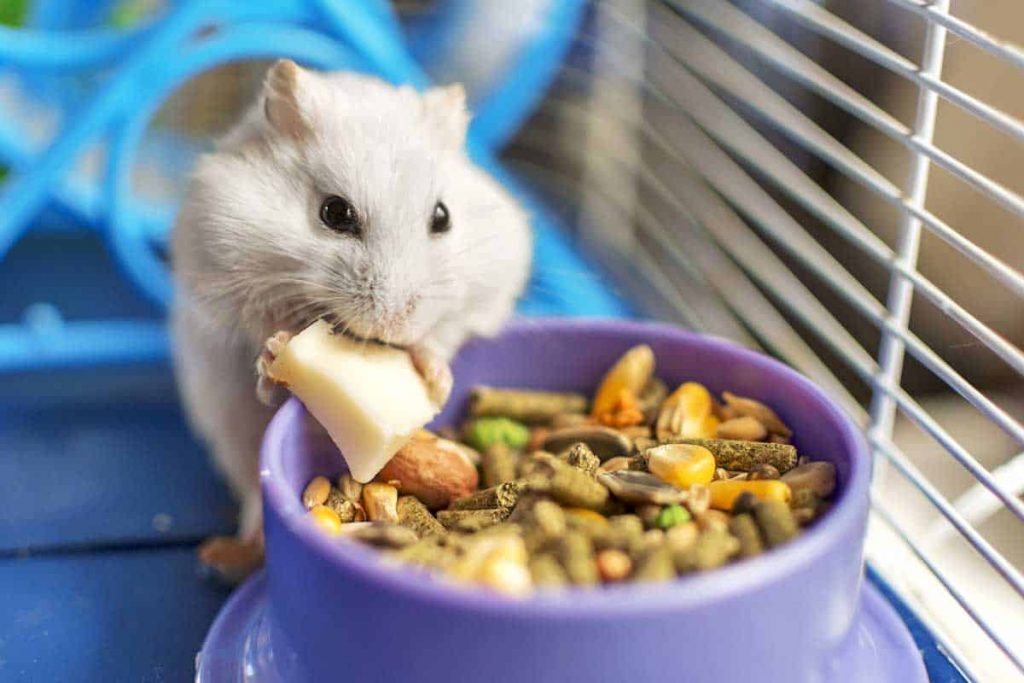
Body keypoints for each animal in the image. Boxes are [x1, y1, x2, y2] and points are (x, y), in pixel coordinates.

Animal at [170, 60, 532, 574]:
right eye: (334, 213)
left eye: (443, 217)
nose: (393, 326)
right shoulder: (220, 275)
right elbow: (262, 328)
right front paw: (276, 352)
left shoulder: (487, 290)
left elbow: (441, 336)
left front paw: (436, 380)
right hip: (227, 420)